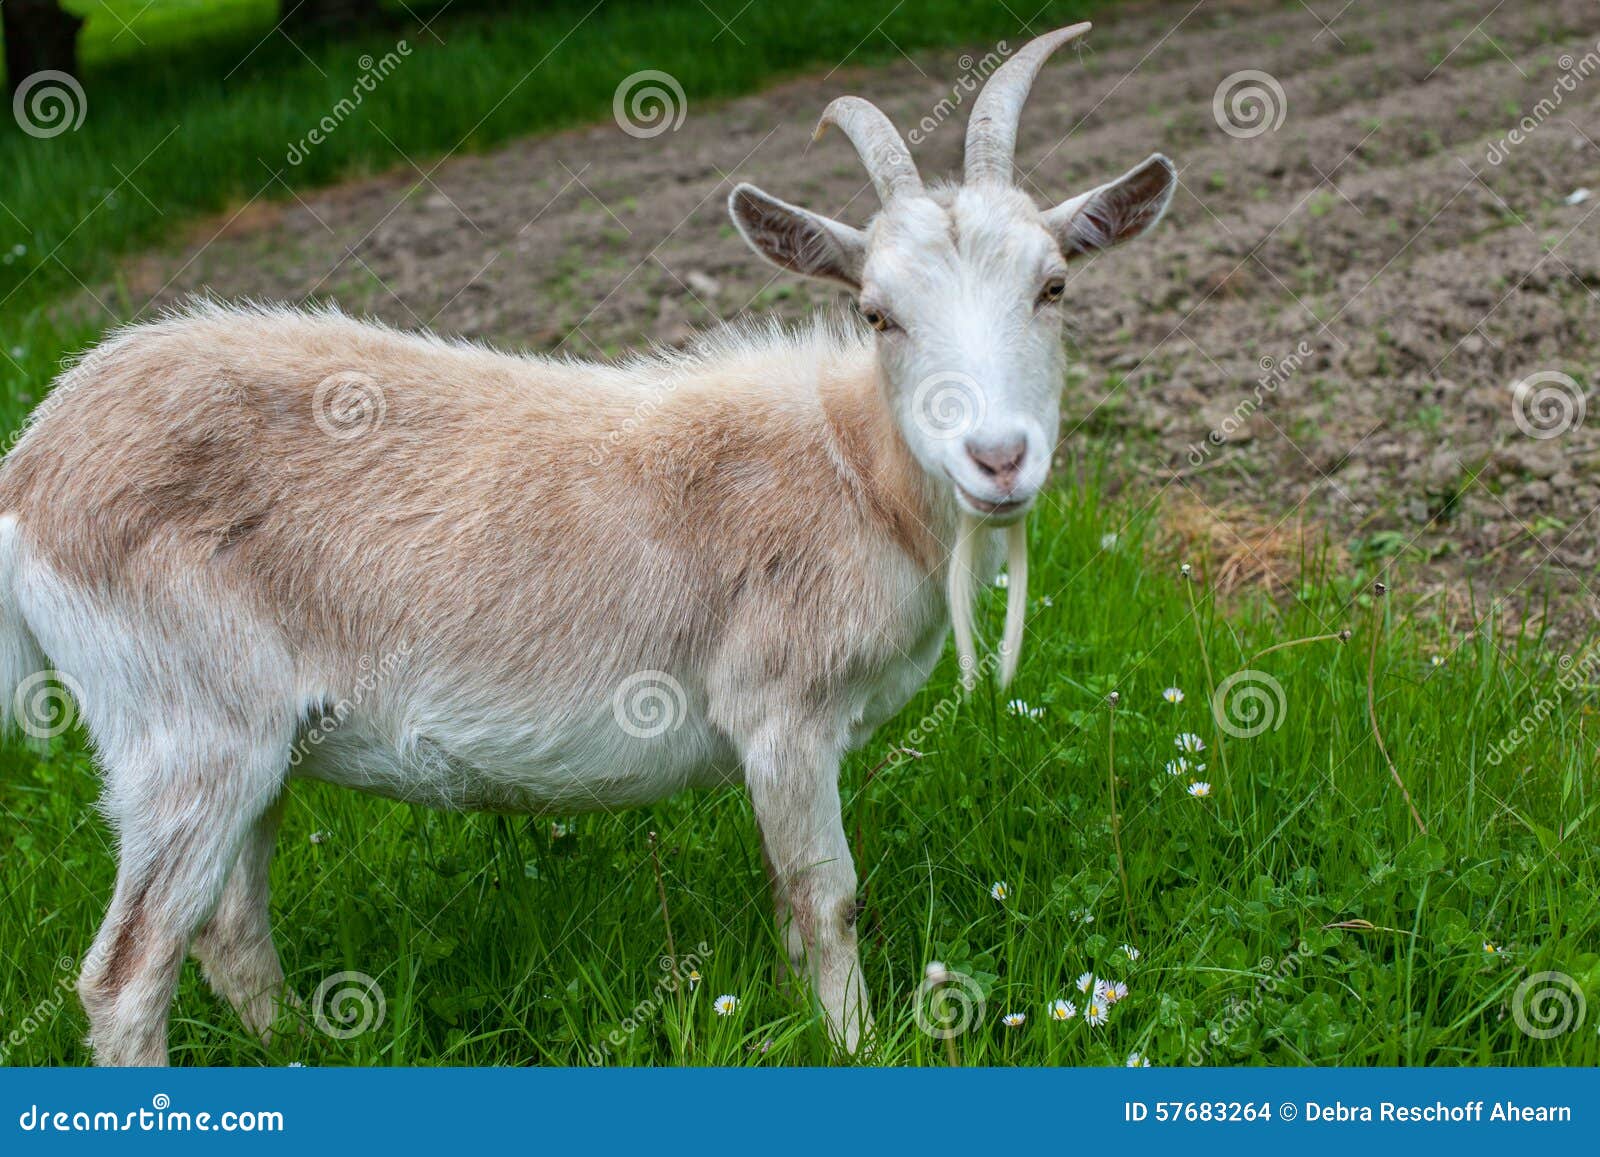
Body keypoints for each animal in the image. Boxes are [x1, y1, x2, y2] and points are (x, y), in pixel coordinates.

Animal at [0, 23, 1173, 1065]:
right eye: (878, 311)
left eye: (1054, 285)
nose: (998, 456)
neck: (852, 466)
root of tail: (31, 465)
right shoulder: (779, 711)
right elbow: (826, 900)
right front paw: (860, 1048)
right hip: (185, 727)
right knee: (125, 973)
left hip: (254, 741)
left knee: (231, 928)